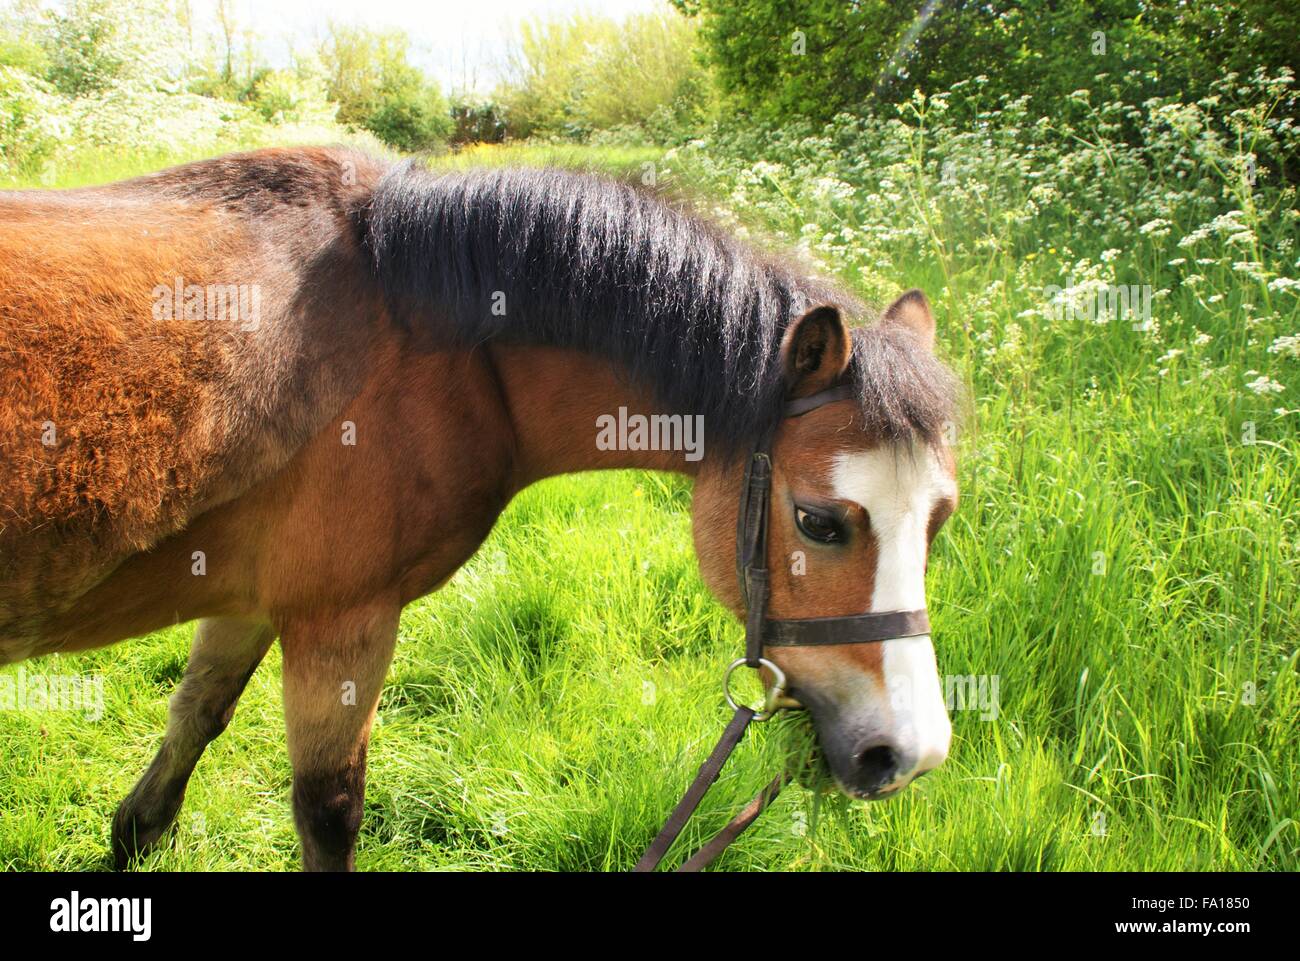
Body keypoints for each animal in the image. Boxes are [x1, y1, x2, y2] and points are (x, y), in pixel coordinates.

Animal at [0, 147, 961, 871]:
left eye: (938, 521)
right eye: (821, 522)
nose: (910, 755)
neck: (433, 343)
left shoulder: (254, 592)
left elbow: (196, 715)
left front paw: (133, 833)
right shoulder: (343, 616)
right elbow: (328, 808)